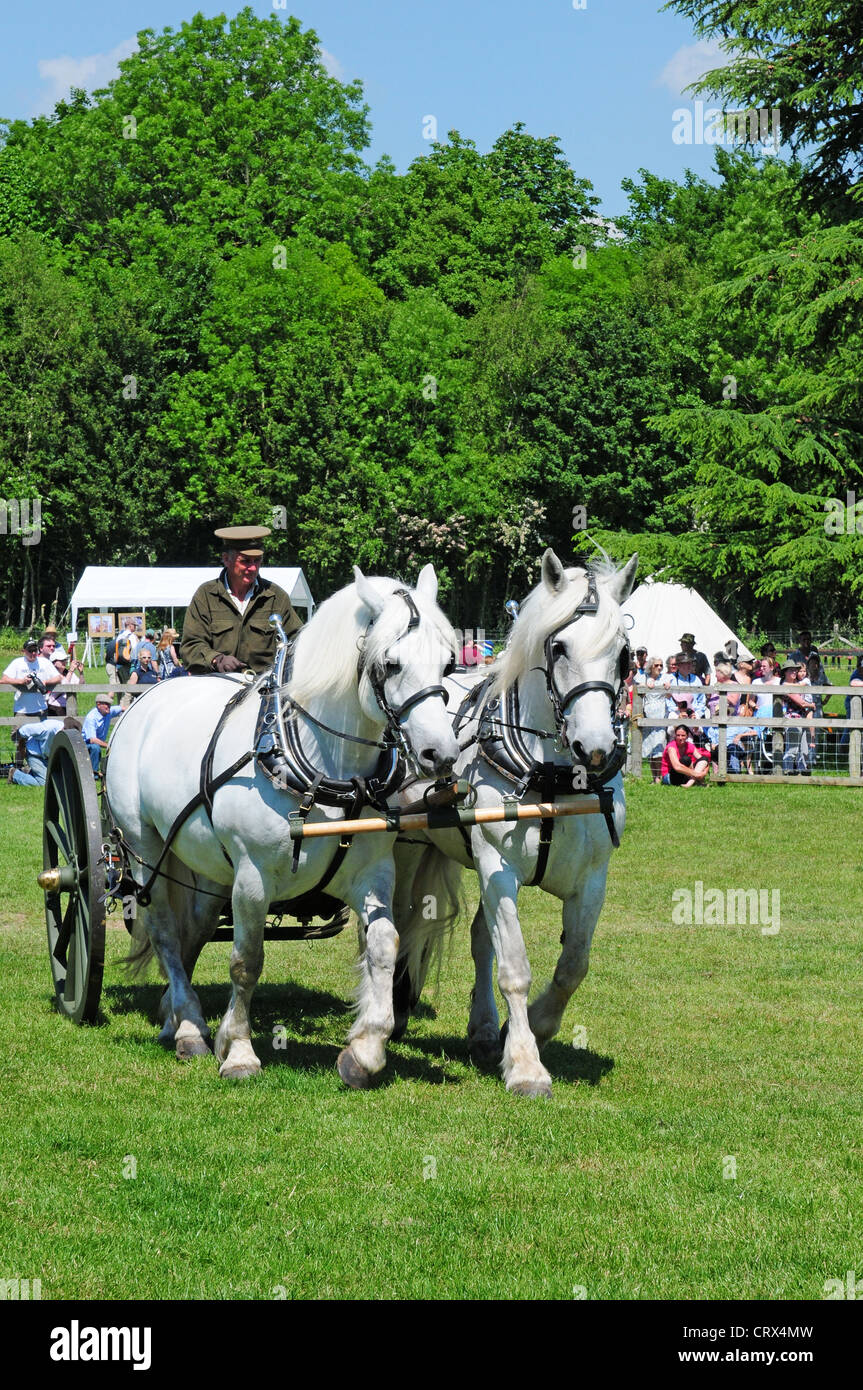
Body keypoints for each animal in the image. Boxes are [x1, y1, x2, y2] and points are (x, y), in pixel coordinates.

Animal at [106, 564, 460, 1086]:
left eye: (449, 663)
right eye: (391, 664)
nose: (442, 754)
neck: (324, 763)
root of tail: (144, 699)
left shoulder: (373, 871)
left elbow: (384, 943)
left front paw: (366, 1050)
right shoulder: (252, 877)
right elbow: (246, 961)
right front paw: (238, 1051)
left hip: (207, 867)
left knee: (194, 928)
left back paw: (173, 1015)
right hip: (145, 849)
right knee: (165, 930)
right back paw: (189, 1027)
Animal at [391, 548, 638, 1098]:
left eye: (624, 654)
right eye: (559, 647)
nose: (596, 747)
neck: (551, 778)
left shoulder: (593, 879)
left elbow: (572, 966)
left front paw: (524, 1031)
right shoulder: (497, 867)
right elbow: (515, 967)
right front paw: (525, 1065)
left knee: (479, 939)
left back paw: (483, 1031)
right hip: (411, 848)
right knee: (398, 919)